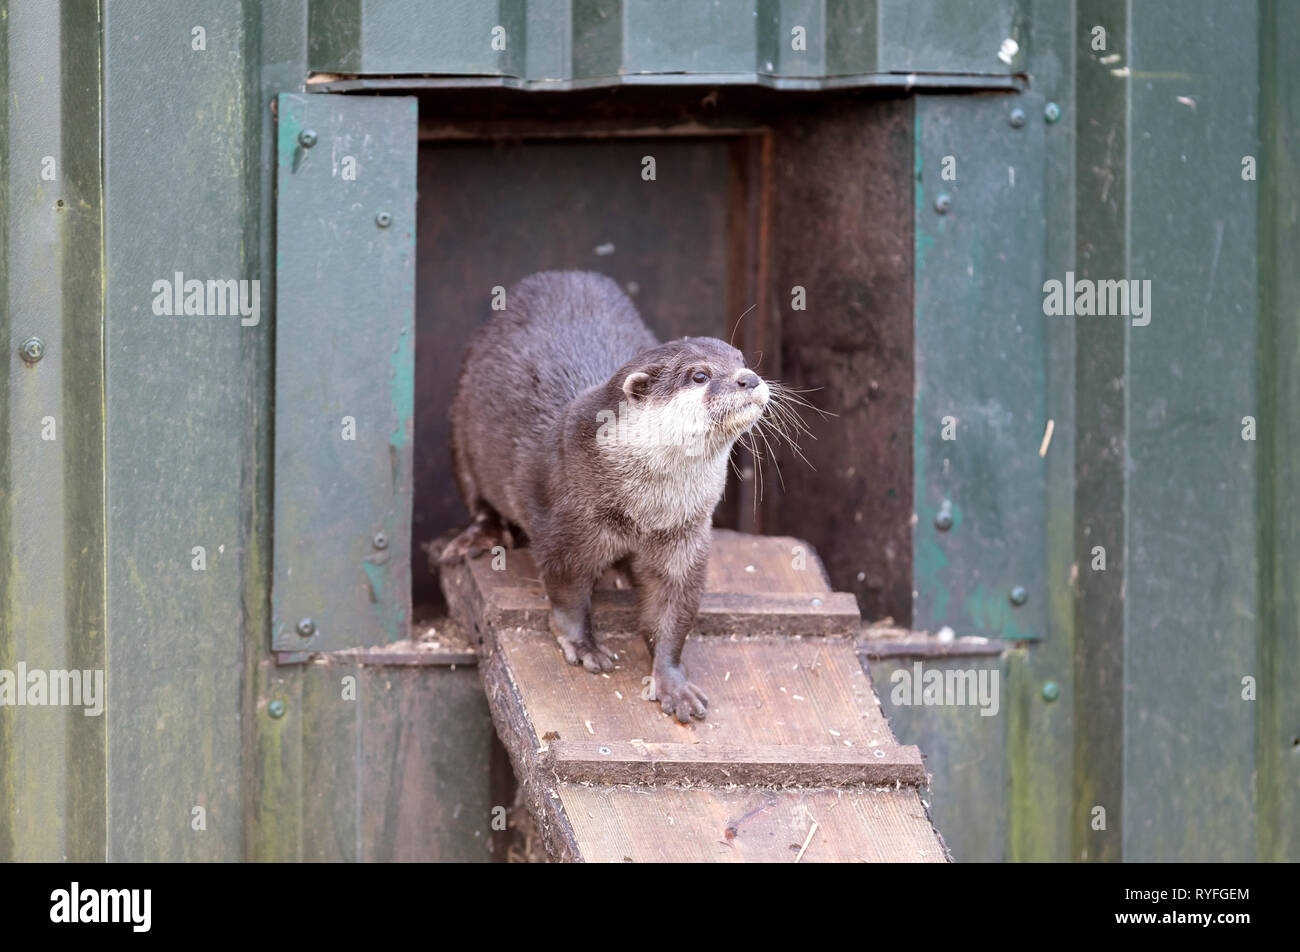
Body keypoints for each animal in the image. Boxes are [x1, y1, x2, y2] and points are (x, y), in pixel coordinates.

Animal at [442, 270, 770, 723]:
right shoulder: (566, 524)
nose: (748, 379)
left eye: (741, 359)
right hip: (461, 421)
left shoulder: (685, 536)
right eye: (699, 376)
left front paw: (672, 683)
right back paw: (481, 535)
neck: (646, 512)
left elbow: (674, 612)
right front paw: (584, 646)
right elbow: (567, 592)